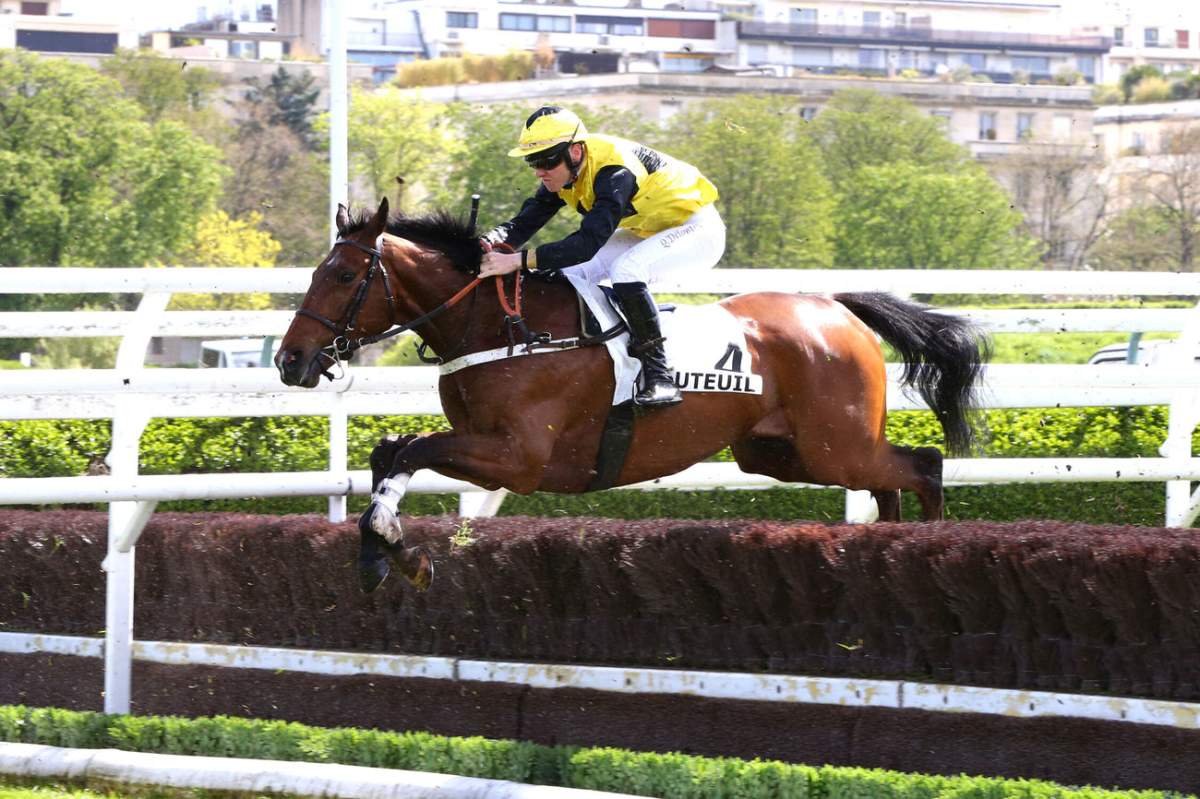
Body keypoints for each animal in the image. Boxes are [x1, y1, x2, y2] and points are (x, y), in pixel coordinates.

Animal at [277, 198, 989, 593]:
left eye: (344, 275)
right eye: (317, 271)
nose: (290, 361)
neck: (504, 325)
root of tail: (837, 310)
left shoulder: (519, 459)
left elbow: (408, 451)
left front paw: (396, 551)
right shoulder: (490, 451)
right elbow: (388, 454)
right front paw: (385, 557)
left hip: (833, 443)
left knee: (924, 465)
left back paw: (929, 553)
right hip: (780, 451)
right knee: (889, 481)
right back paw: (882, 554)